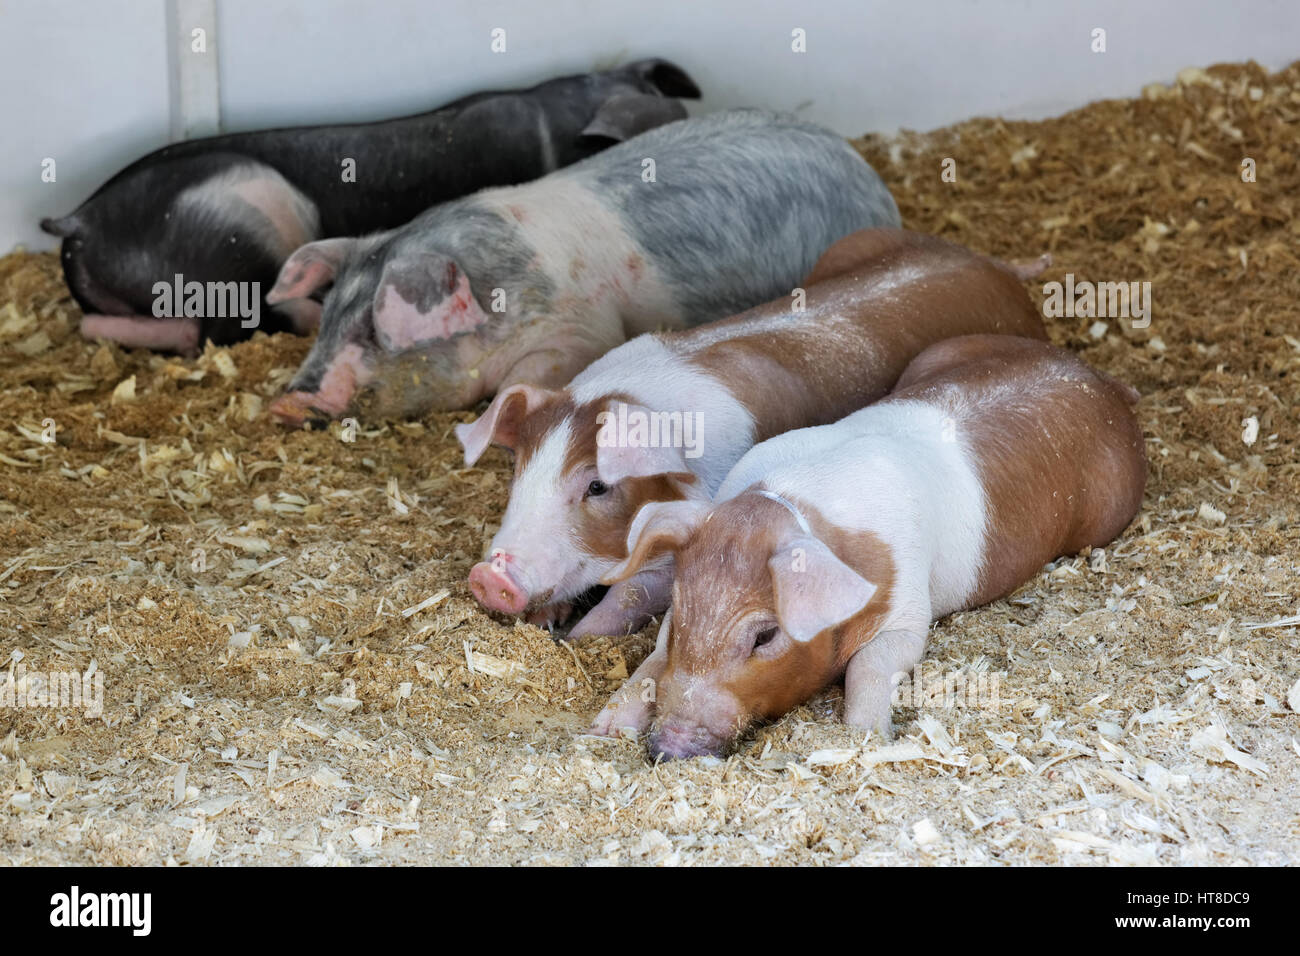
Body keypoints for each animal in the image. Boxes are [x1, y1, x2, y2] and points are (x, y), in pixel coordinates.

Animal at [266, 110, 903, 426]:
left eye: (372, 332)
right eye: (328, 317)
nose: (288, 397)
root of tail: (868, 175)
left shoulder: (582, 333)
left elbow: (529, 380)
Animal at [455, 229, 1050, 640]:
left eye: (598, 486)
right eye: (519, 469)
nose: (489, 576)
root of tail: (989, 263)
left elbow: (633, 593)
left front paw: (576, 636)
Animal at [594, 335, 1147, 757]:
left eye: (765, 636)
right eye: (682, 606)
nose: (667, 748)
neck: (801, 509)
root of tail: (1097, 377)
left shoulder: (910, 608)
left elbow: (872, 664)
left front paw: (866, 738)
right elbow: (655, 655)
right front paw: (605, 727)